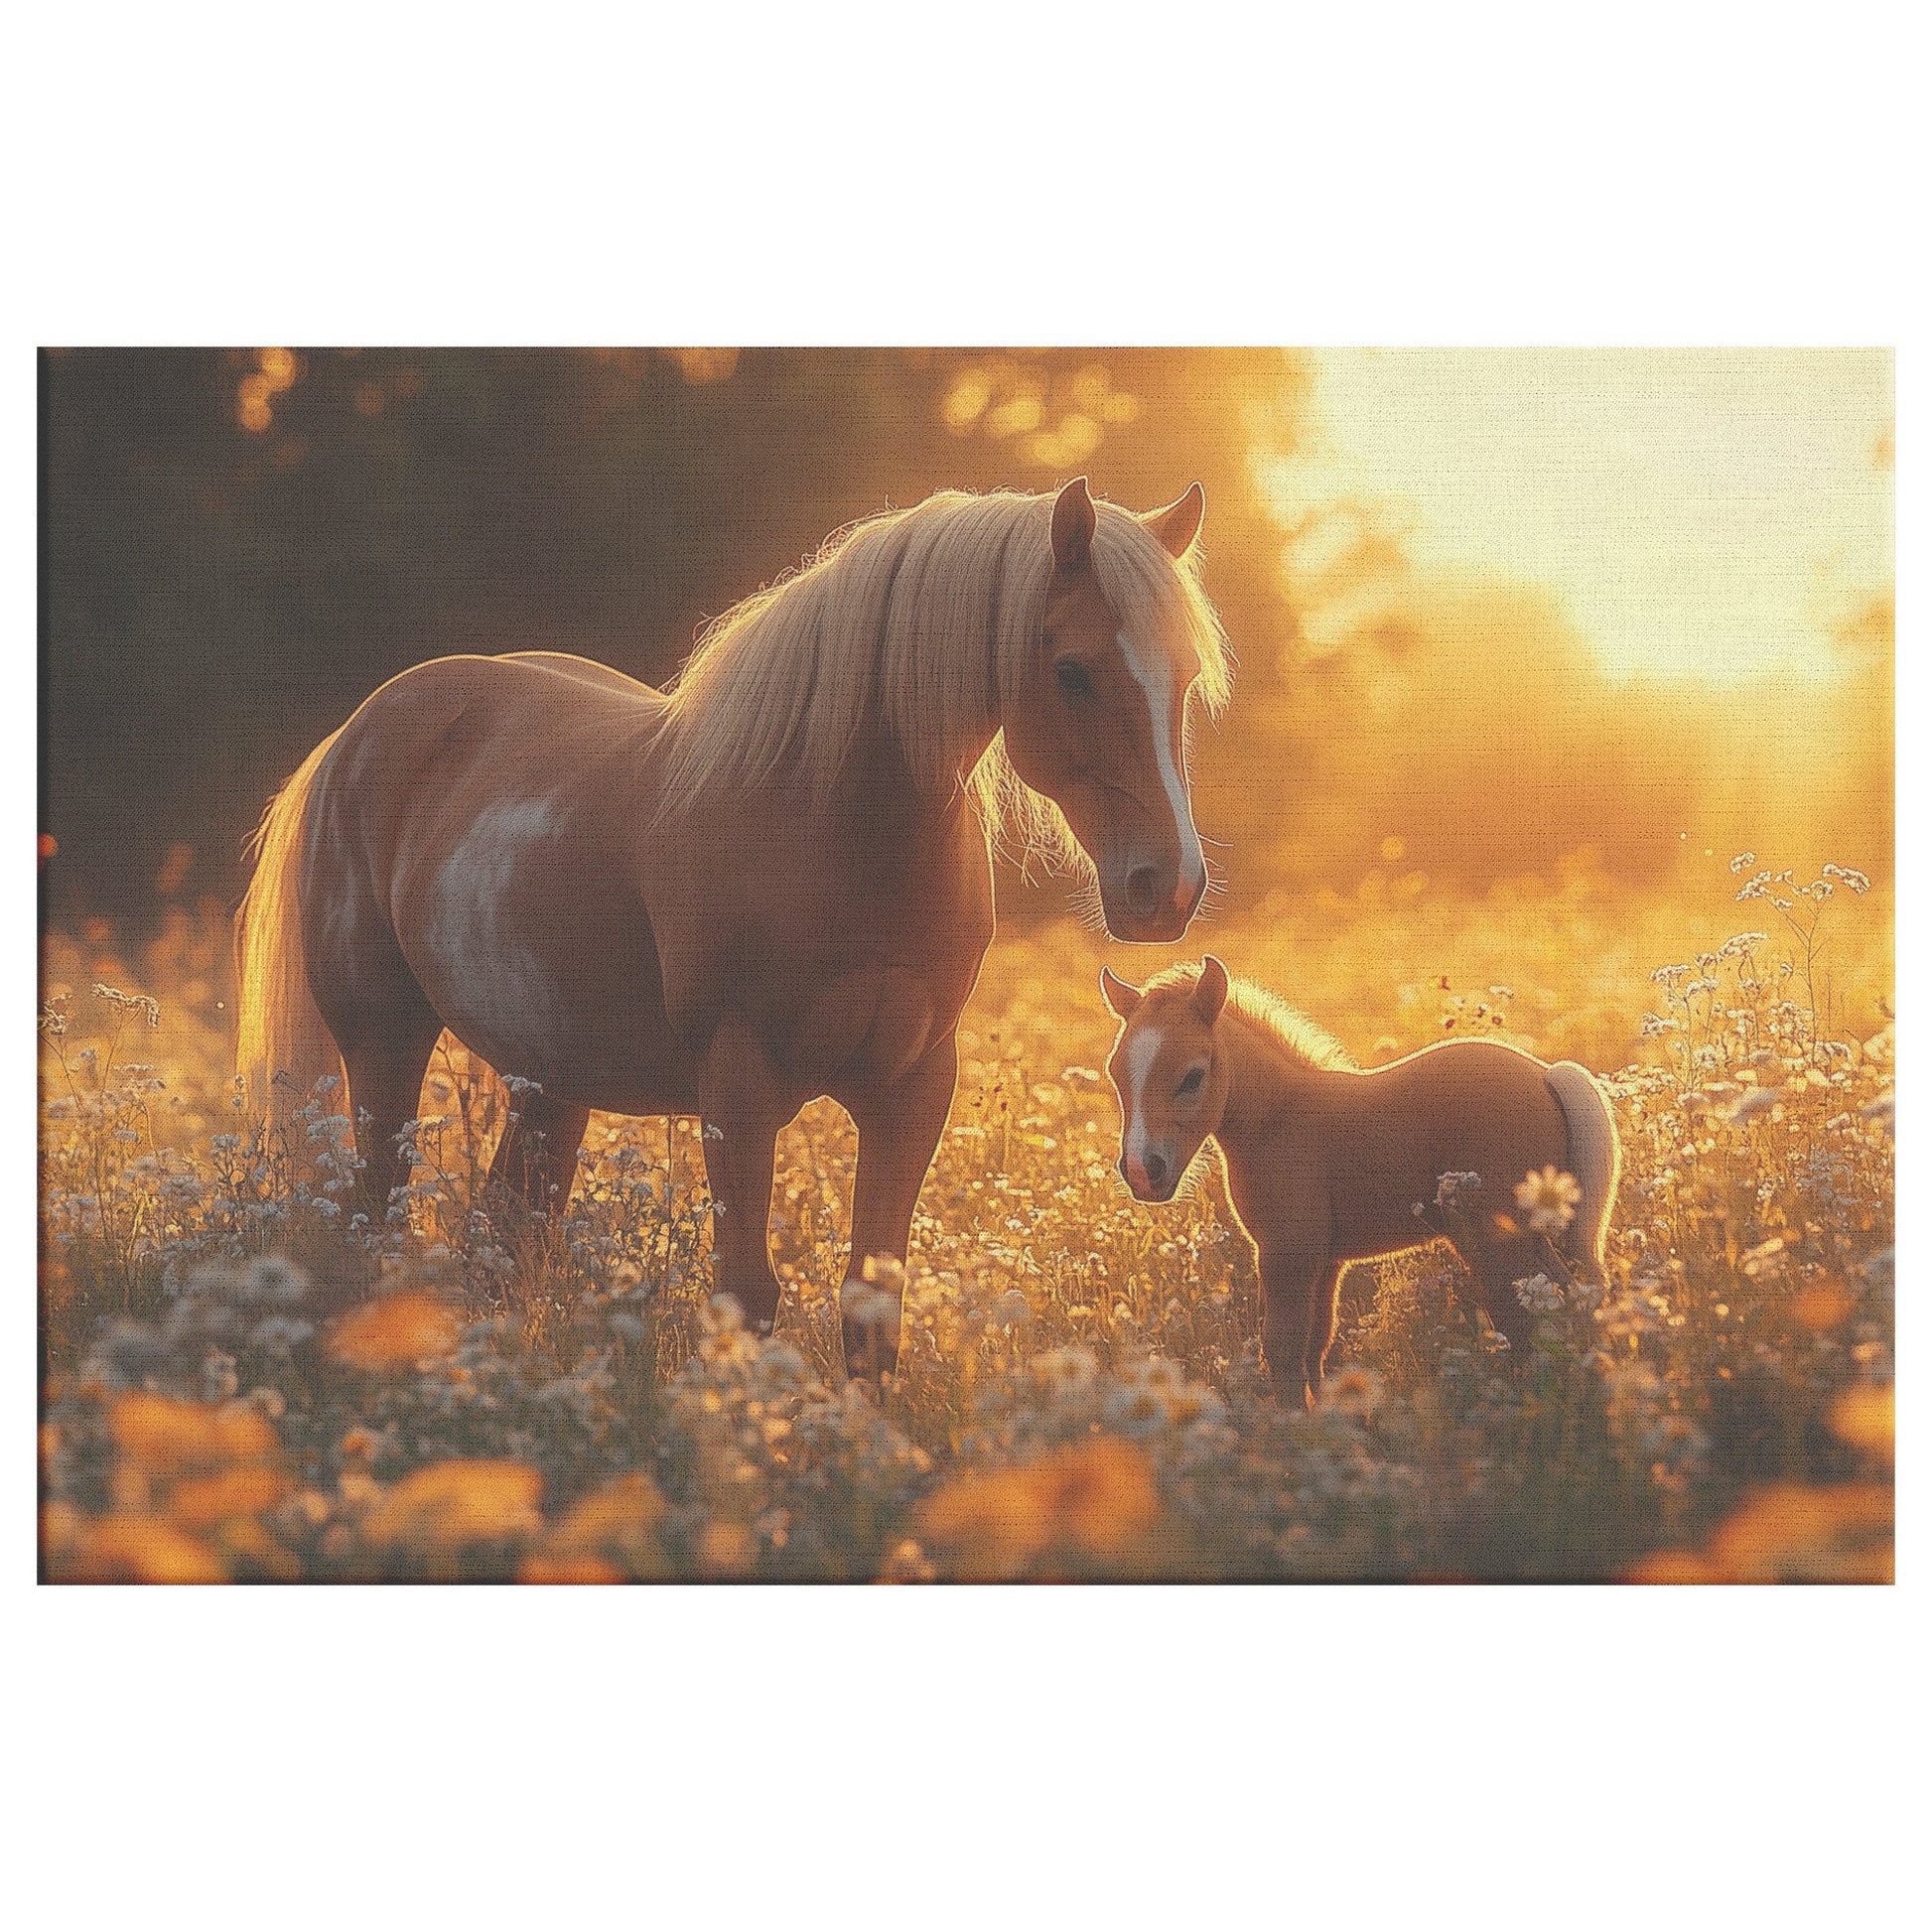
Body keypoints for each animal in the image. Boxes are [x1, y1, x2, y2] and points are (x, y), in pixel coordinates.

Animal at [236, 478, 1232, 1373]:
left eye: (1183, 679)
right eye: (1072, 671)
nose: (1167, 888)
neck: (830, 822)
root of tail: (357, 735)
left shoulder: (912, 1089)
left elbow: (871, 1308)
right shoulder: (738, 1087)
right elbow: (747, 1297)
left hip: (547, 1082)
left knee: (504, 1243)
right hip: (384, 1045)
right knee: (374, 1222)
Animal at [1100, 956, 1621, 1404]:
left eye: (1192, 1076)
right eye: (1116, 1073)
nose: (1143, 1172)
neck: (1279, 1118)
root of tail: (1548, 1074)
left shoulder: (1287, 1253)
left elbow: (1284, 1350)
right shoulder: (1326, 1261)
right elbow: (1316, 1347)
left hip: (1503, 1245)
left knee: (1545, 1317)